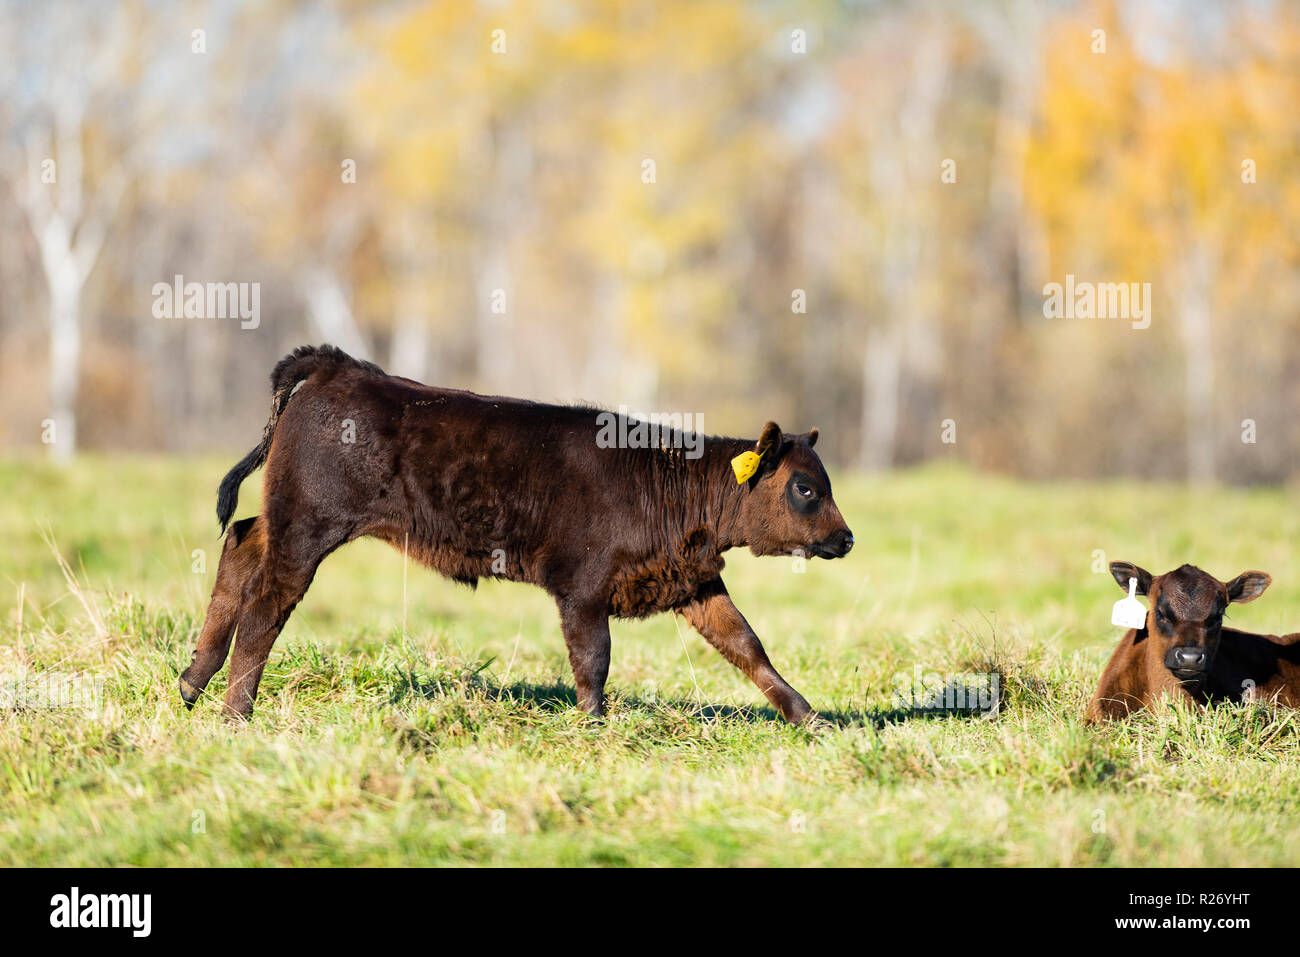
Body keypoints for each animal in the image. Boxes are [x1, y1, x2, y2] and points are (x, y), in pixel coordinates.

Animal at [180, 344, 855, 724]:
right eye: (805, 488)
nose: (846, 539)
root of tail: (338, 364)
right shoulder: (582, 587)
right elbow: (594, 660)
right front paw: (593, 728)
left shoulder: (693, 582)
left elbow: (747, 645)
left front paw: (810, 718)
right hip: (308, 527)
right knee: (268, 601)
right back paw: (235, 714)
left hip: (286, 520)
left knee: (240, 546)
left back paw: (192, 683)